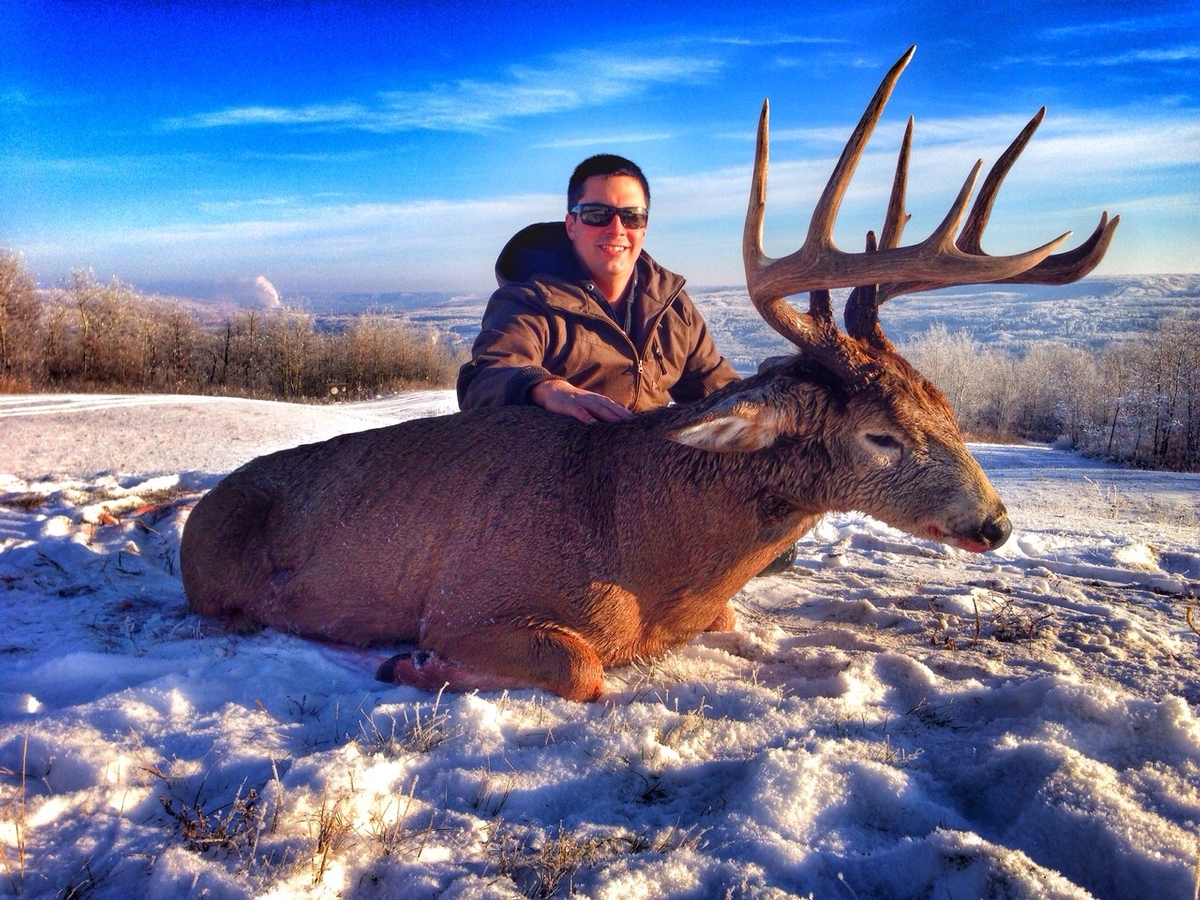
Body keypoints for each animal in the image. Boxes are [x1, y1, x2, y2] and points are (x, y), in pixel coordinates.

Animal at [180, 47, 1117, 702]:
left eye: (949, 407)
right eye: (880, 434)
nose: (996, 523)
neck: (640, 538)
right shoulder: (464, 600)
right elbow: (583, 670)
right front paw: (409, 666)